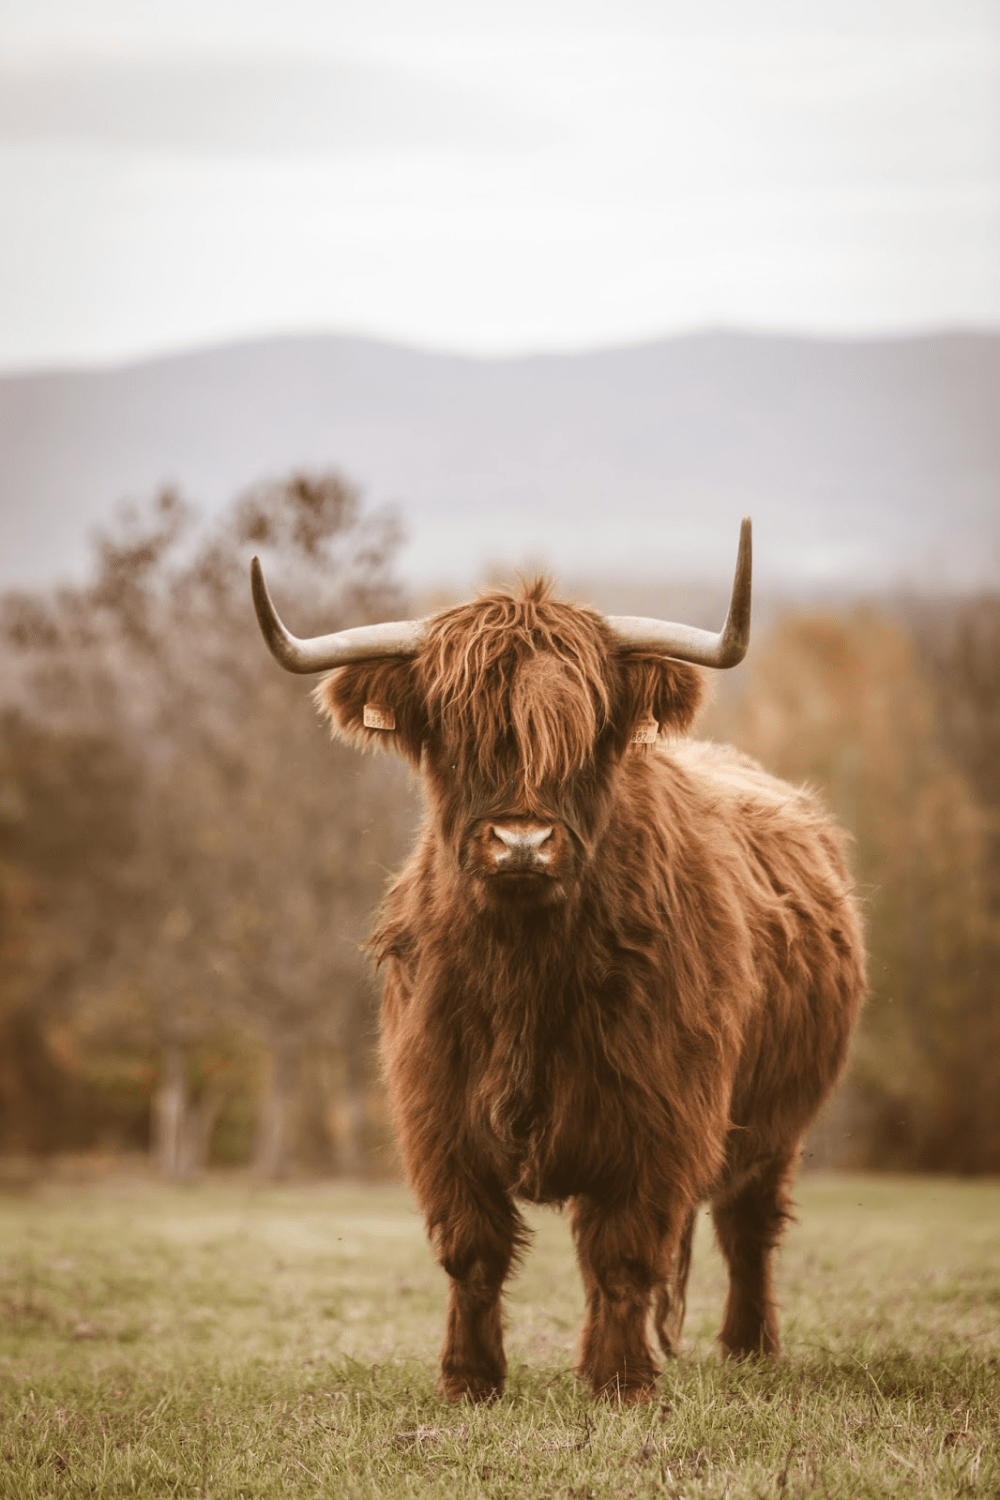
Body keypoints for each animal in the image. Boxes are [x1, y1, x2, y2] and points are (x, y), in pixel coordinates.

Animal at [250, 519, 866, 1403]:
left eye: (588, 736)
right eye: (453, 735)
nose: (521, 841)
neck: (525, 969)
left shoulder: (659, 1114)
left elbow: (626, 1251)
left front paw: (621, 1381)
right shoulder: (438, 1111)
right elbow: (473, 1252)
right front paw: (469, 1379)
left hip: (774, 1120)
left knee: (746, 1224)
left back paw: (749, 1347)